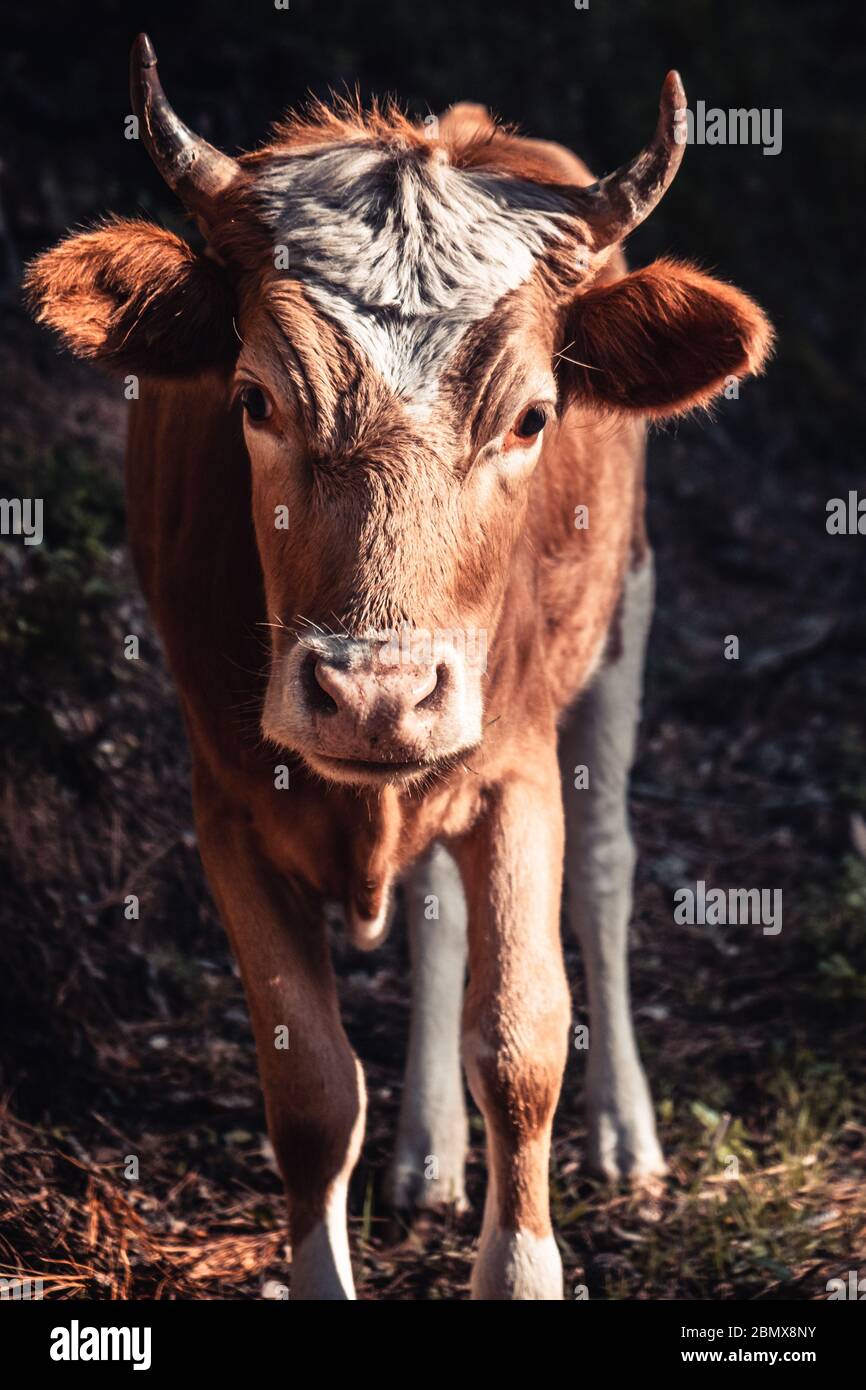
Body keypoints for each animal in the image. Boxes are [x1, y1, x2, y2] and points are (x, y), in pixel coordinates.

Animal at [26, 34, 772, 1300]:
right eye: (253, 398)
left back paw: (625, 1134)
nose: (373, 692)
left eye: (531, 417)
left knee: (606, 868)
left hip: (620, 613)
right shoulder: (225, 804)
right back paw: (428, 1151)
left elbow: (519, 1045)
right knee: (431, 908)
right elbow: (313, 1093)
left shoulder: (515, 768)